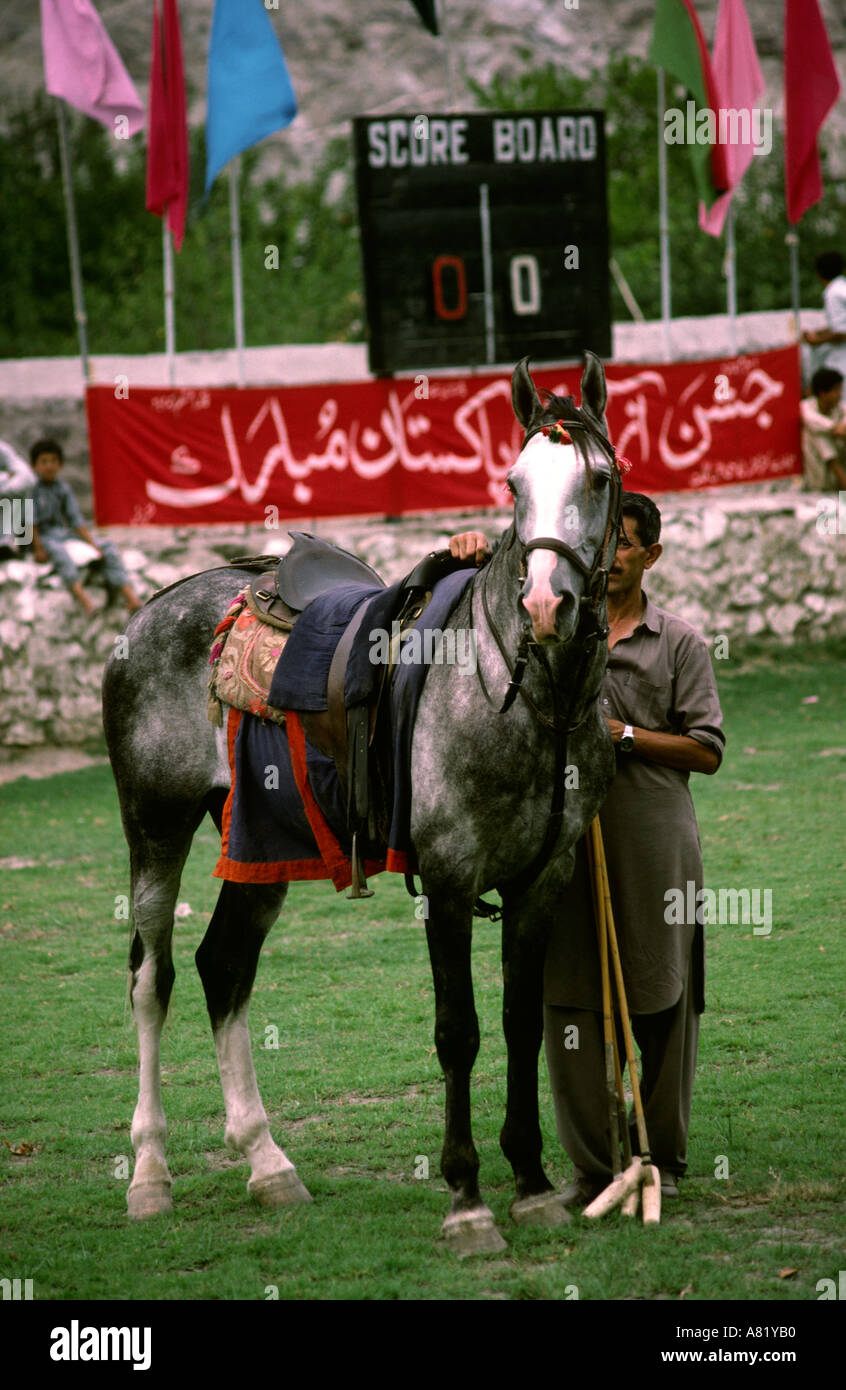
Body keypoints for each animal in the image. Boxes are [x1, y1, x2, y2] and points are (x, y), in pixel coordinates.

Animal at [101, 352, 622, 1256]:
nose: (545, 606)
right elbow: (460, 1031)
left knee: (221, 965)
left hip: (261, 843)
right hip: (154, 827)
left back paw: (268, 1163)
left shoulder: (542, 879)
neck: (524, 702)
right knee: (151, 978)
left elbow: (520, 1022)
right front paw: (467, 1201)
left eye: (597, 477)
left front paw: (531, 1184)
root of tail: (152, 612)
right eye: (514, 483)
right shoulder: (448, 881)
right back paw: (151, 1174)